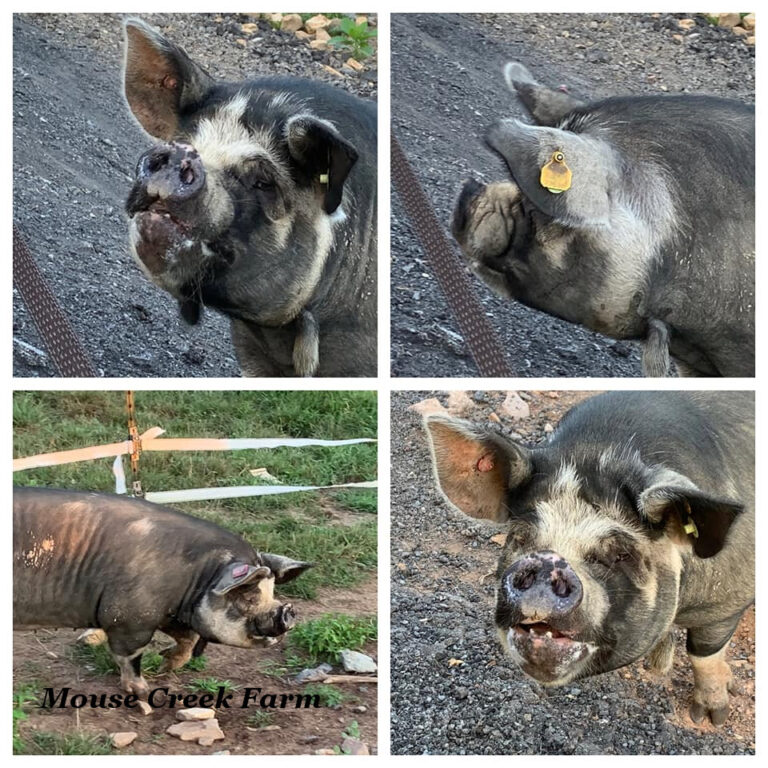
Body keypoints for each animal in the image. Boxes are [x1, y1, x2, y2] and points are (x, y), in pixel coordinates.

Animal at [13, 487, 312, 696]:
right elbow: (130, 656)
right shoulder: (129, 618)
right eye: (248, 596)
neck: (199, 577)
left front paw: (165, 665)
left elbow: (189, 640)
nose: (288, 611)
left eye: (273, 592)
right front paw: (144, 692)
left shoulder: (168, 613)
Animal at [424, 391, 754, 725]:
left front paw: (711, 718)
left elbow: (704, 654)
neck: (601, 449)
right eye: (520, 536)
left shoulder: (726, 601)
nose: (547, 561)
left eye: (621, 552)